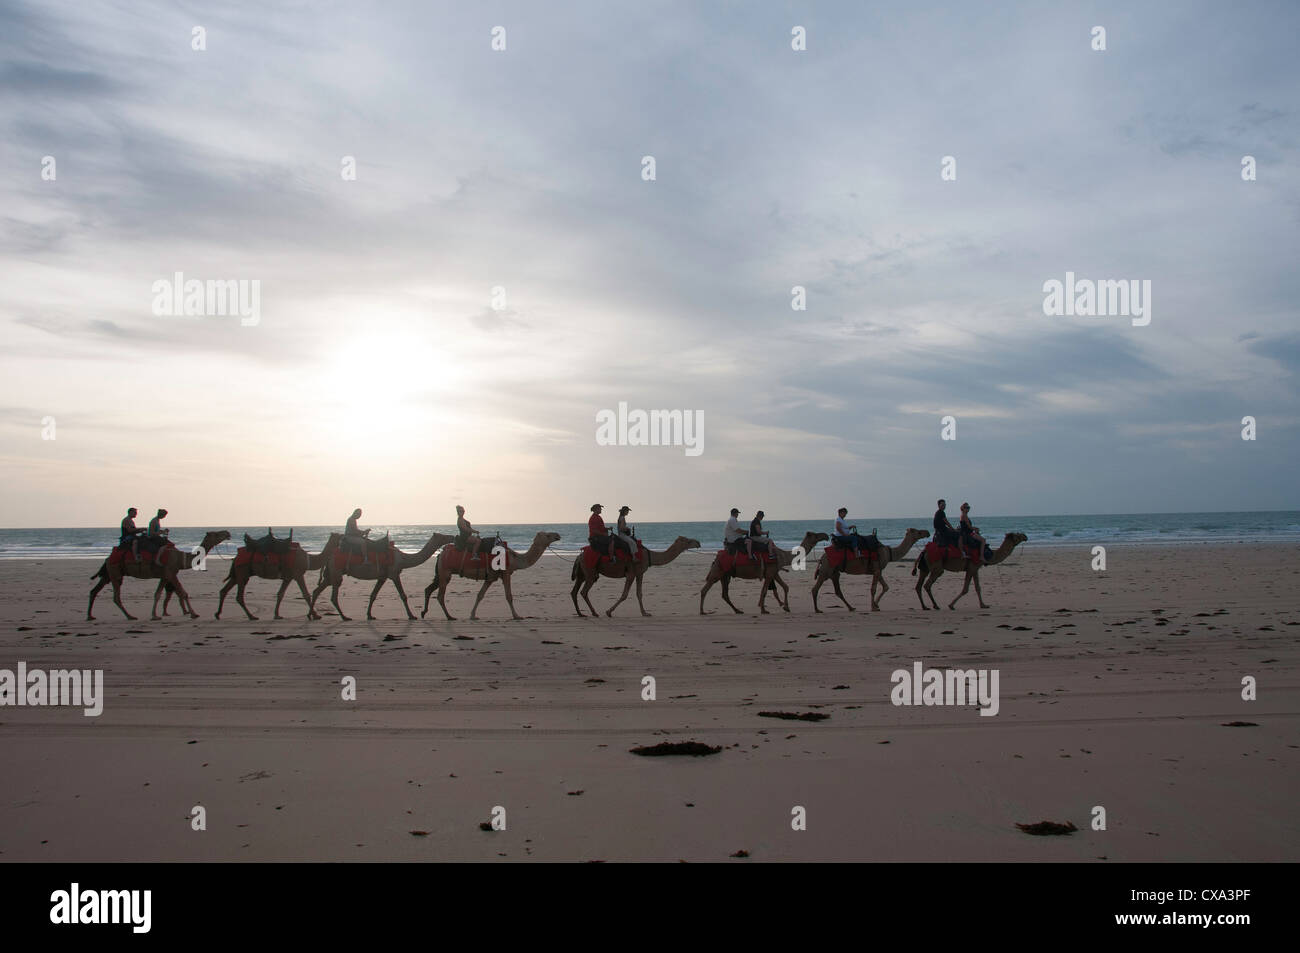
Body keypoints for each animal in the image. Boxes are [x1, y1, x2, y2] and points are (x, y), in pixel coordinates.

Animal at [88, 530, 231, 621]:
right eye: (216, 533)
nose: (228, 533)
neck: (180, 558)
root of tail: (108, 558)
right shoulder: (171, 572)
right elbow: (183, 593)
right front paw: (194, 614)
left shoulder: (165, 576)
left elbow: (157, 594)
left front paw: (154, 615)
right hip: (115, 572)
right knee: (116, 596)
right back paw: (130, 616)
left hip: (109, 574)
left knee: (94, 591)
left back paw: (90, 616)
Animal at [309, 532, 455, 621]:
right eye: (442, 536)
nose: (452, 536)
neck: (403, 558)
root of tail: (329, 557)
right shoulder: (394, 573)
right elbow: (403, 595)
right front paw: (412, 615)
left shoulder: (383, 577)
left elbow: (373, 595)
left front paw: (370, 615)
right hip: (336, 571)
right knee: (333, 595)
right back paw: (344, 617)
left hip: (330, 575)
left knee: (317, 591)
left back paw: (312, 615)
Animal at [422, 532, 561, 621]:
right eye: (547, 535)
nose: (558, 535)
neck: (514, 558)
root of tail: (441, 554)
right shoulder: (506, 573)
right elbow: (509, 596)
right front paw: (517, 616)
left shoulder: (490, 578)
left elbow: (480, 595)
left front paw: (473, 615)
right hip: (445, 572)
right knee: (440, 595)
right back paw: (449, 617)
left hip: (442, 573)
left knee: (429, 589)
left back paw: (424, 613)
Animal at [570, 536, 701, 617]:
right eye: (688, 541)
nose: (698, 542)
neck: (648, 556)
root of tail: (579, 555)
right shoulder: (631, 574)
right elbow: (624, 595)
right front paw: (608, 612)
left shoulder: (640, 573)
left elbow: (639, 593)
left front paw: (645, 613)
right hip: (590, 572)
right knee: (583, 591)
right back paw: (594, 613)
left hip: (582, 573)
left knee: (574, 591)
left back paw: (581, 614)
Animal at [699, 532, 827, 615]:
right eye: (815, 535)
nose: (825, 535)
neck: (781, 555)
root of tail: (717, 557)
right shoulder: (770, 573)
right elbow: (765, 591)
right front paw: (764, 610)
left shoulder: (774, 572)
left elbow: (785, 587)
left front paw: (786, 607)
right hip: (717, 572)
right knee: (705, 589)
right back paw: (702, 611)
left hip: (725, 575)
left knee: (724, 594)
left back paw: (738, 610)